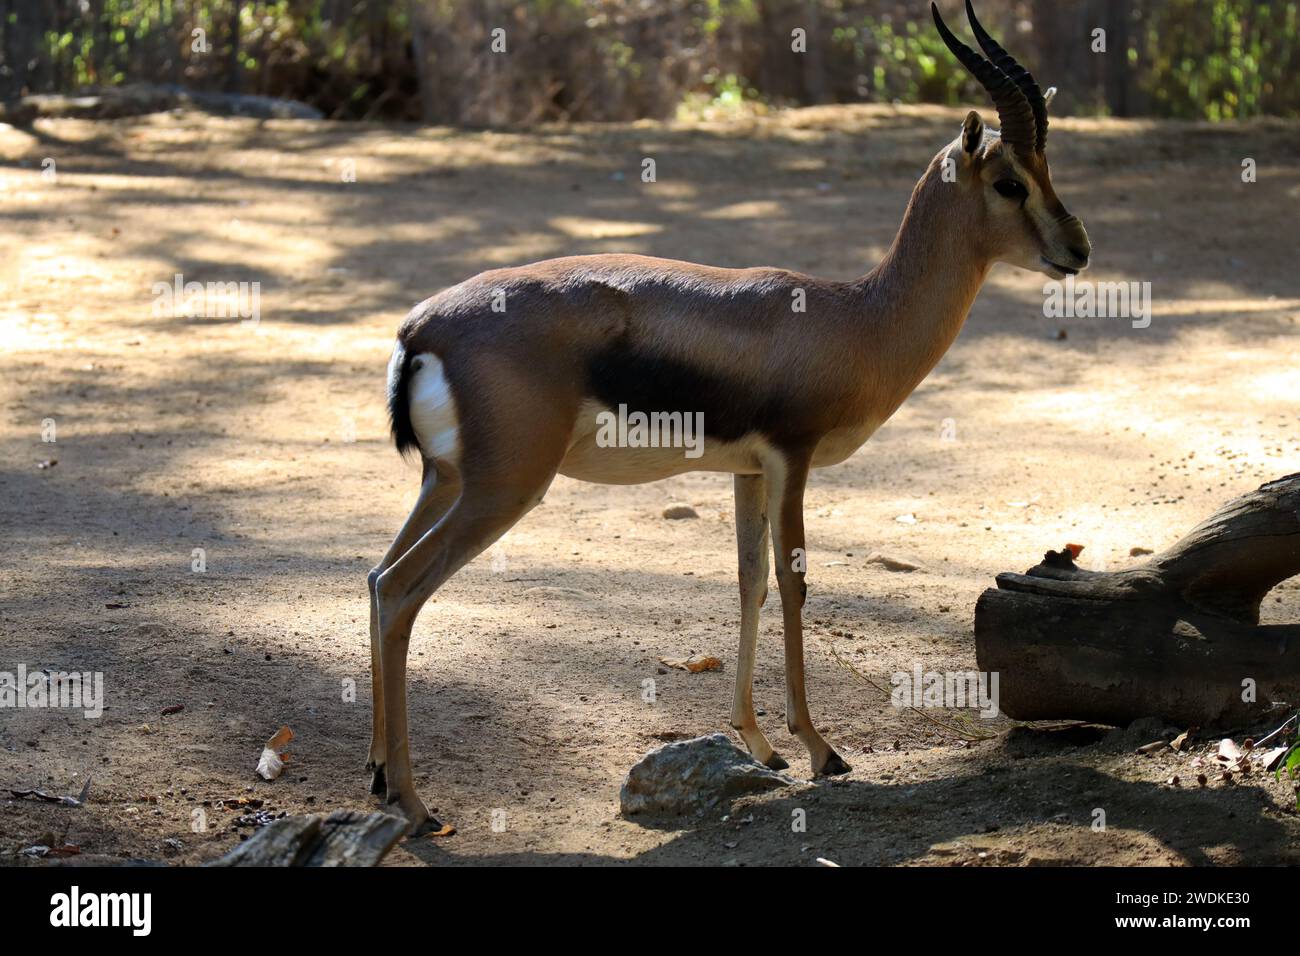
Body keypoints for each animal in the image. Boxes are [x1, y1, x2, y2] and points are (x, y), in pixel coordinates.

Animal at [367, 0, 1091, 833]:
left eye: (1045, 171)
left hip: (446, 482)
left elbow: (749, 583)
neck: (857, 316)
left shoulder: (746, 471)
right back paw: (415, 804)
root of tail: (421, 329)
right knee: (403, 590)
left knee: (376, 578)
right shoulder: (792, 458)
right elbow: (793, 581)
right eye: (1009, 182)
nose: (1078, 249)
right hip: (503, 489)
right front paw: (822, 750)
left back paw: (380, 778)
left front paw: (762, 745)